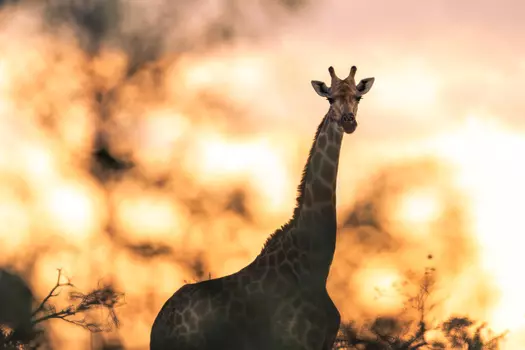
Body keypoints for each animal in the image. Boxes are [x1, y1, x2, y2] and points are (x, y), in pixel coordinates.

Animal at [149, 65, 374, 350]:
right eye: (330, 98)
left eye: (358, 97)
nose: (348, 121)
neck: (313, 265)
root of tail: (157, 325)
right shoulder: (294, 341)